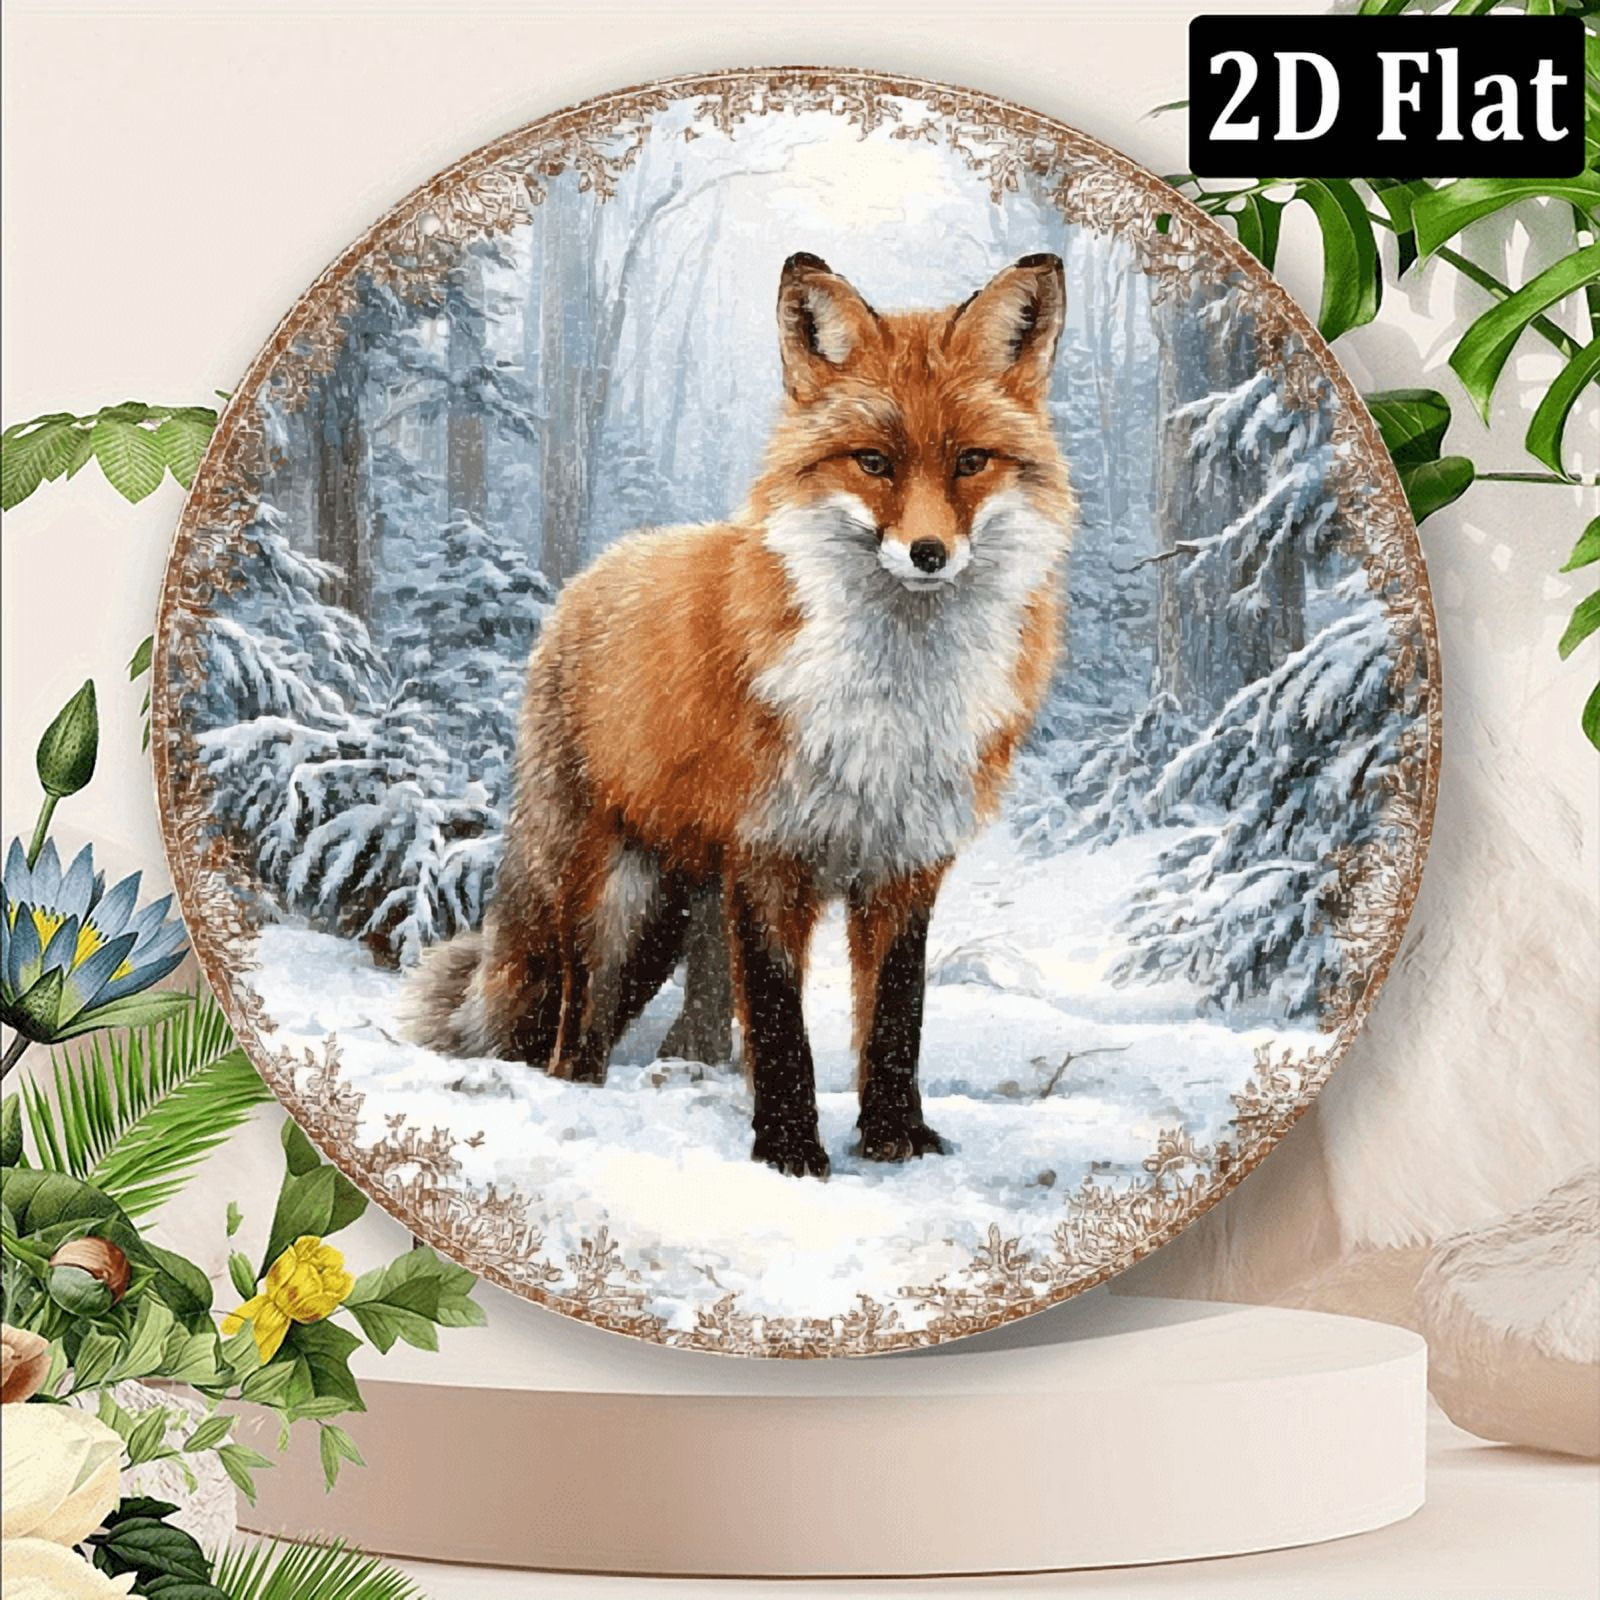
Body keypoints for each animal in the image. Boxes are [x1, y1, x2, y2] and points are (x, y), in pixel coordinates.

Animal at [403, 250, 1076, 1179]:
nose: (930, 554)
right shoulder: (769, 852)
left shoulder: (906, 864)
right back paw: (585, 1087)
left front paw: (895, 1139)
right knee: (578, 1014)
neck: (893, 704)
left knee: (701, 997)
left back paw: (690, 1069)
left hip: (689, 894)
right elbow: (783, 1022)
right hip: (606, 892)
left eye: (972, 461)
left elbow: (895, 1018)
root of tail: (590, 576)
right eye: (873, 461)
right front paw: (790, 1149)